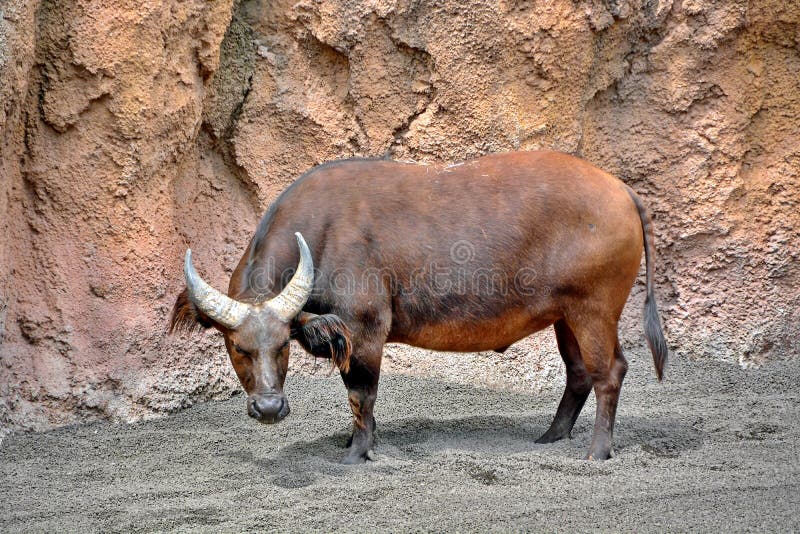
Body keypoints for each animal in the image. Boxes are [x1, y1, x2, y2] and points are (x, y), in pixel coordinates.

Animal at [170, 151, 667, 463]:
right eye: (238, 348)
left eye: (283, 347)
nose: (270, 408)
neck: (320, 234)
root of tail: (621, 190)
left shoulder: (365, 330)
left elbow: (361, 395)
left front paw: (357, 453)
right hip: (566, 315)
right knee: (579, 373)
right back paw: (550, 437)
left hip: (593, 310)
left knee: (610, 372)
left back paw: (596, 451)